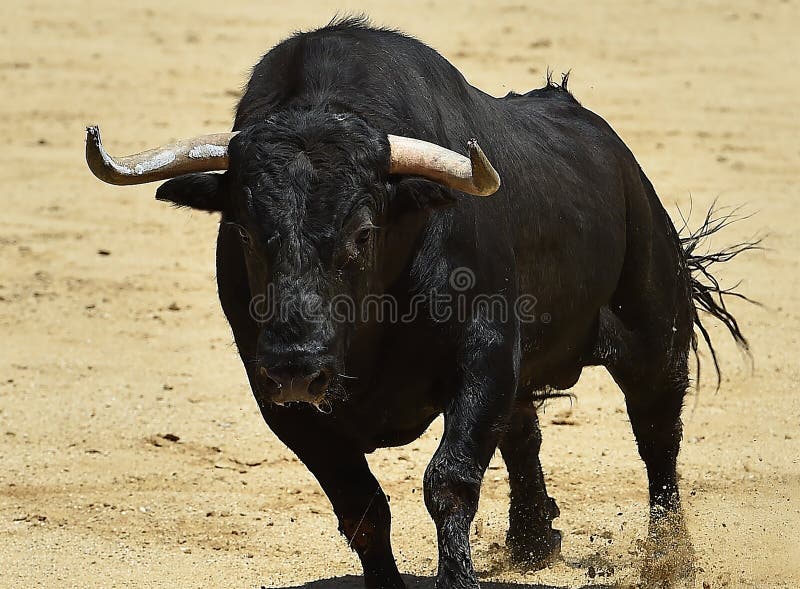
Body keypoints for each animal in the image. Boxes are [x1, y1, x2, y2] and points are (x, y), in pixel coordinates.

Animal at [85, 17, 753, 589]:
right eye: (244, 233)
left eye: (362, 233)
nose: (298, 364)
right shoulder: (278, 396)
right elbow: (361, 506)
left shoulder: (483, 353)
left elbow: (449, 481)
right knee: (525, 428)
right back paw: (534, 542)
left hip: (653, 327)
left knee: (657, 431)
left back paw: (670, 558)